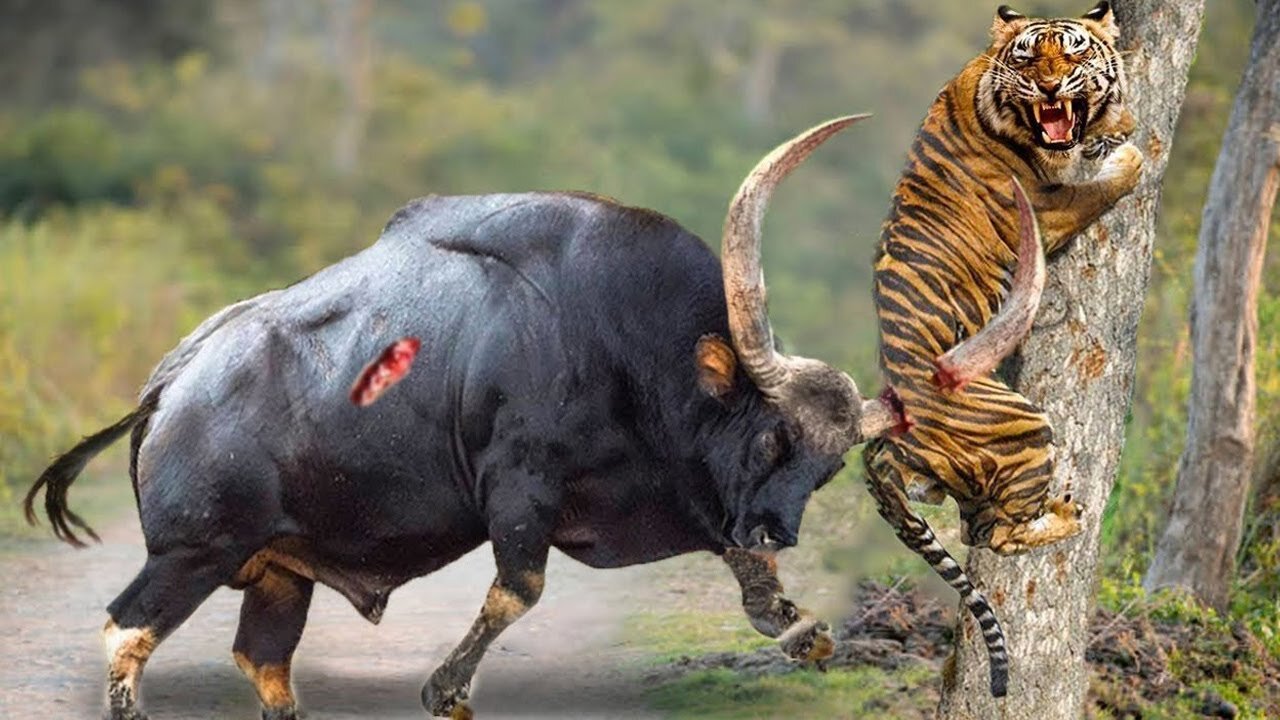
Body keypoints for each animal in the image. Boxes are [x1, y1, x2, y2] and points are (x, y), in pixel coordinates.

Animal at [861, 1, 1143, 696]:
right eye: (1029, 57)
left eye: (1073, 52)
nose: (1050, 87)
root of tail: (889, 445)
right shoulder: (1054, 207)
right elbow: (1113, 176)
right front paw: (1129, 147)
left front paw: (1117, 124)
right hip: (1024, 426)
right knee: (998, 534)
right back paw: (1069, 515)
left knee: (974, 524)